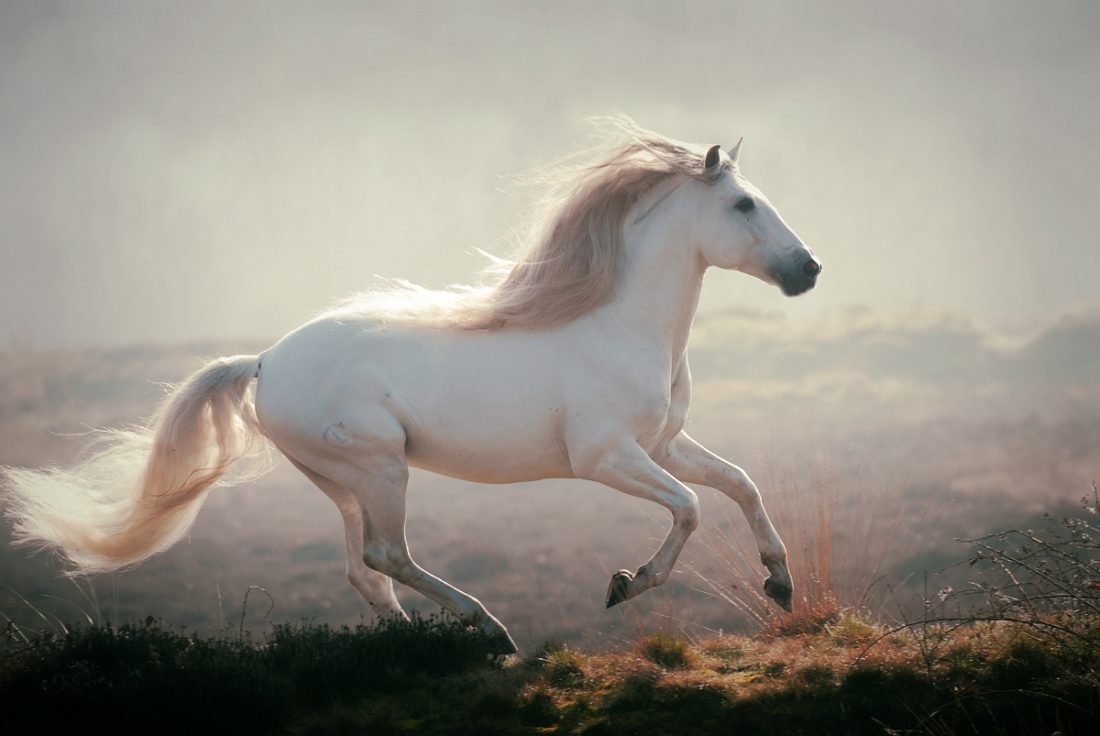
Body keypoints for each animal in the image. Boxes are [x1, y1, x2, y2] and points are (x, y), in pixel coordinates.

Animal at [2, 120, 821, 654]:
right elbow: (688, 510)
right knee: (387, 556)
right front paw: (626, 582)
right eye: (743, 205)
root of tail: (264, 362)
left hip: (341, 480)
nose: (808, 269)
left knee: (362, 568)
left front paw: (780, 585)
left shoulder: (664, 444)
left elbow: (739, 484)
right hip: (381, 468)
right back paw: (488, 630)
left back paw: (417, 643)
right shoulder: (606, 458)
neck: (620, 326)